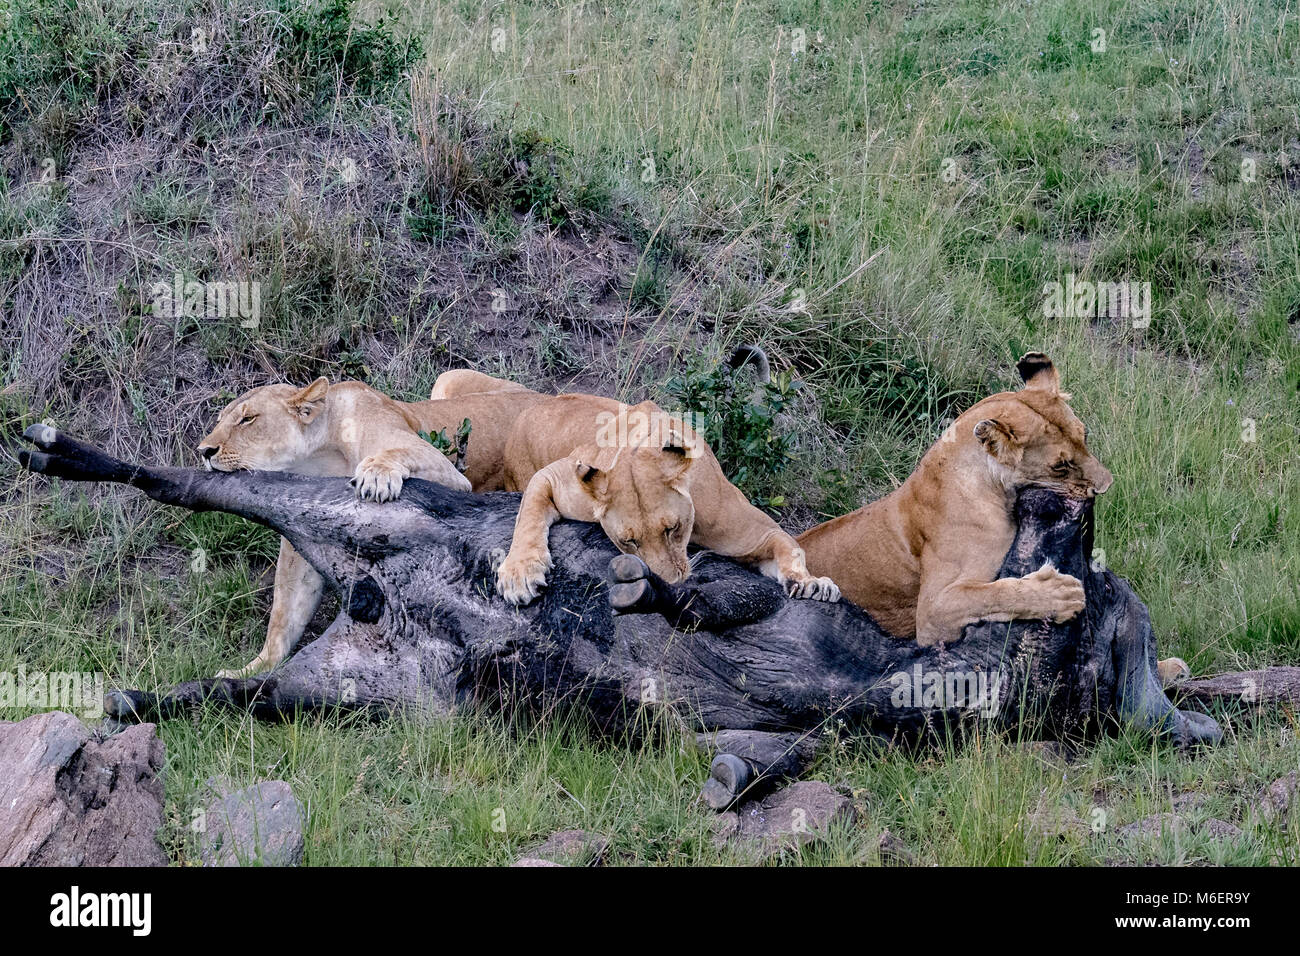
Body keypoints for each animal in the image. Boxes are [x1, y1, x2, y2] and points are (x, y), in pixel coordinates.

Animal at [197, 377, 539, 676]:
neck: (319, 458)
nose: (204, 451)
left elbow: (400, 454)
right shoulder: (298, 538)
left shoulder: (448, 472)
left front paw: (377, 473)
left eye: (247, 419)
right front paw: (253, 668)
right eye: (222, 420)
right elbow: (285, 610)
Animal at [491, 392, 840, 606]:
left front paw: (811, 582)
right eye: (629, 542)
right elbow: (527, 517)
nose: (671, 585)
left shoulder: (753, 533)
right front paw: (520, 574)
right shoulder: (558, 477)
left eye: (673, 529)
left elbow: (789, 545)